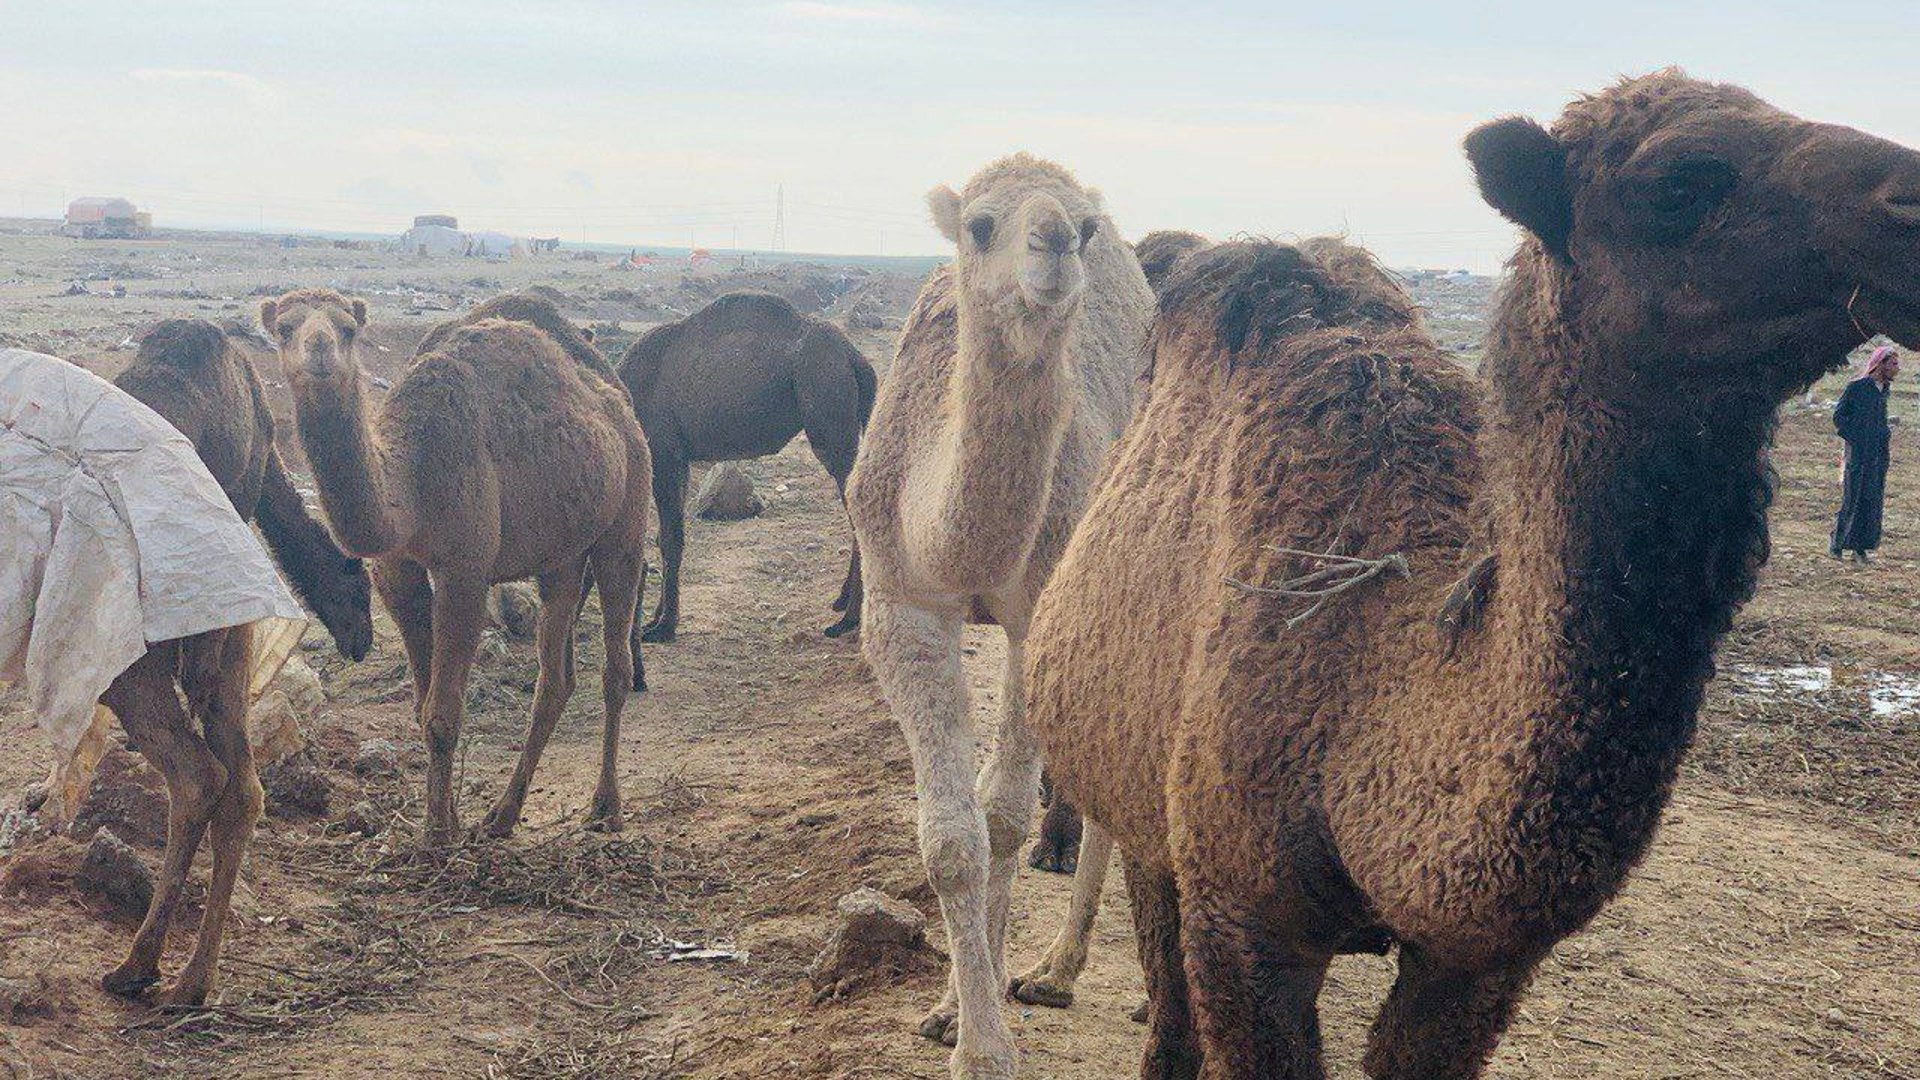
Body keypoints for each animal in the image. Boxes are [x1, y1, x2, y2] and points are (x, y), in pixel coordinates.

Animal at [91, 318, 374, 1005]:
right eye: (360, 589)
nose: (363, 639)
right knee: (231, 777)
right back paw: (177, 975)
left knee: (207, 772)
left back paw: (153, 970)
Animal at [262, 289, 652, 846]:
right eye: (285, 327)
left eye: (348, 329)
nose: (319, 349)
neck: (409, 481)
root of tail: (615, 404)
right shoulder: (395, 570)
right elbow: (422, 704)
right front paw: (448, 820)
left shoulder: (465, 568)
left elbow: (443, 713)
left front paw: (437, 837)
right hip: (562, 552)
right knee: (555, 676)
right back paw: (503, 815)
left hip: (626, 515)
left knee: (614, 664)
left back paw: (606, 808)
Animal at [617, 291, 876, 643]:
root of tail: (855, 357)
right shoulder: (679, 457)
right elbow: (667, 536)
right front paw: (657, 619)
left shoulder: (663, 450)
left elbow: (671, 537)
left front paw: (664, 626)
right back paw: (842, 601)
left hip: (828, 411)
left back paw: (848, 619)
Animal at [846, 152, 1154, 1079]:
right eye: (980, 225)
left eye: (1083, 227)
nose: (1056, 241)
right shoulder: (901, 607)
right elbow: (953, 837)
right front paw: (956, 1018)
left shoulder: (1037, 611)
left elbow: (1007, 817)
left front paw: (983, 1045)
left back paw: (1064, 975)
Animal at [1020, 71, 1920, 1079]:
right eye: (1681, 182)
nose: (1917, 204)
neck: (1370, 699)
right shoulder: (1241, 912)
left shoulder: (1478, 967)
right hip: (1143, 806)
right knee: (1166, 977)